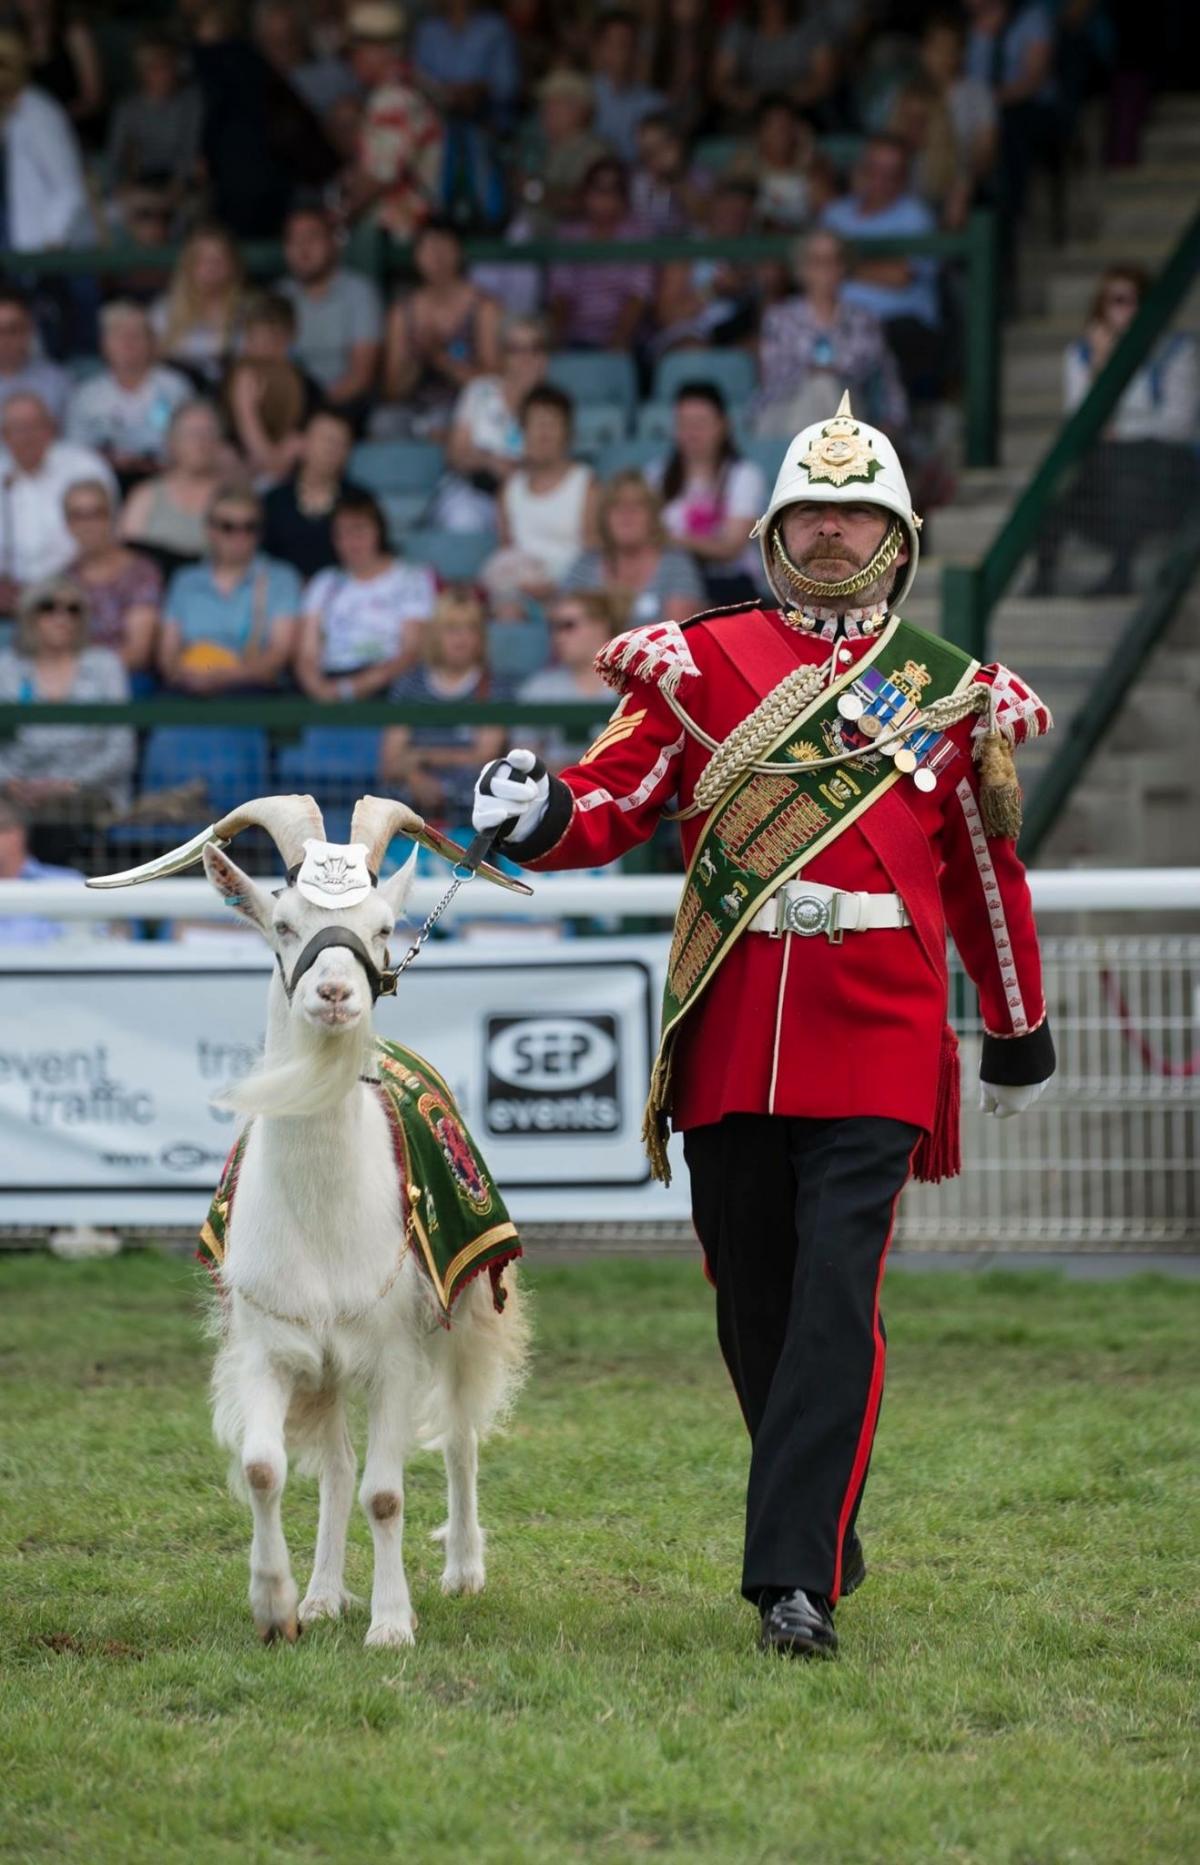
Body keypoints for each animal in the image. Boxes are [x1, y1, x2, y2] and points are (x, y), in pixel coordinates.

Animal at [93, 793, 529, 1647]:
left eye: (384, 926)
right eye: (284, 921)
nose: (334, 992)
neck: (325, 1220)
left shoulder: (394, 1352)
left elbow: (387, 1493)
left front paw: (392, 1624)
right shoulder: (271, 1344)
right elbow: (268, 1468)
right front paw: (276, 1606)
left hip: (462, 1304)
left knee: (459, 1433)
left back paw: (462, 1568)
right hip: (324, 1367)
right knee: (333, 1464)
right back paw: (325, 1593)